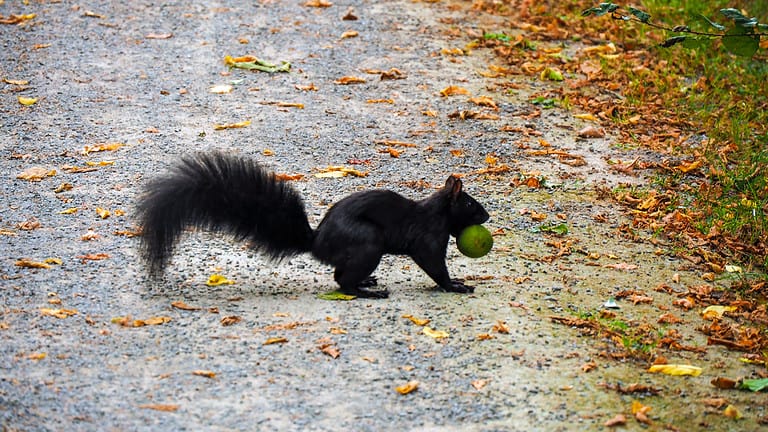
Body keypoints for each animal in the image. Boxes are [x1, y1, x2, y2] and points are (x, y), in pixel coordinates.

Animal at [136, 152, 490, 298]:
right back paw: (367, 292)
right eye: (470, 204)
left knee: (338, 275)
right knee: (342, 281)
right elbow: (433, 265)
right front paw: (454, 285)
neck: (437, 212)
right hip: (368, 242)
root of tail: (317, 242)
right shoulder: (427, 238)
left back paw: (366, 282)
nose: (487, 217)